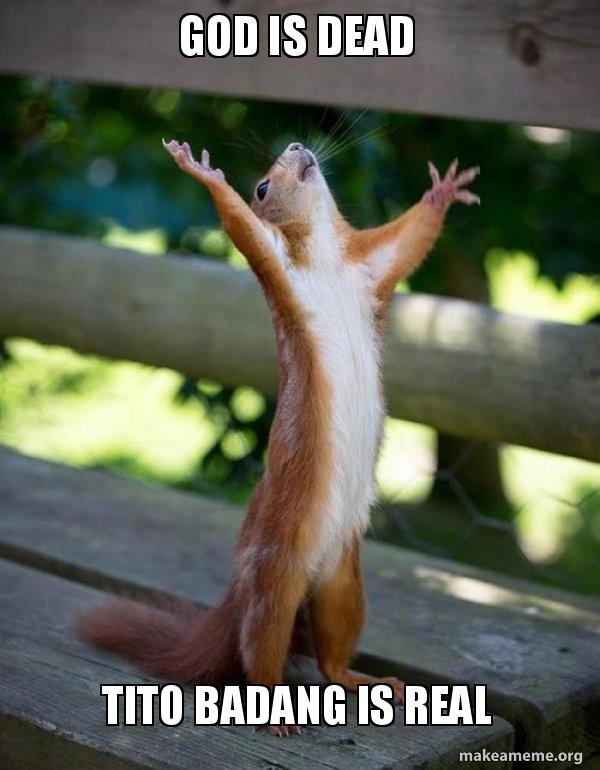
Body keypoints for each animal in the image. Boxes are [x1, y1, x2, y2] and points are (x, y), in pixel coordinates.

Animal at [79, 138, 479, 736]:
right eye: (262, 186)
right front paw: (204, 173)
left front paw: (443, 191)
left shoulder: (371, 267)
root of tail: (240, 592)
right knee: (260, 650)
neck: (327, 259)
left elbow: (408, 241)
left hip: (344, 585)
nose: (296, 146)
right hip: (275, 578)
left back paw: (361, 680)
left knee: (332, 654)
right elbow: (242, 227)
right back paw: (274, 712)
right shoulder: (278, 266)